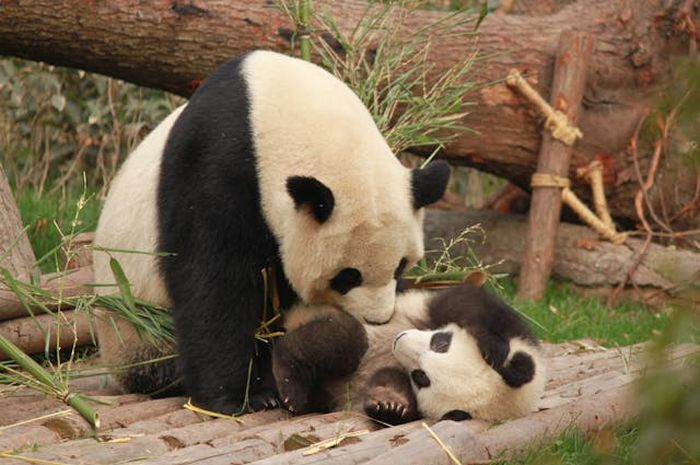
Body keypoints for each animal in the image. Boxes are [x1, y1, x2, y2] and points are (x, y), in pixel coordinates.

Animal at [92, 50, 451, 414]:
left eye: (400, 266)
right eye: (347, 276)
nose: (377, 319)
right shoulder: (214, 166)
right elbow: (214, 284)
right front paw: (235, 397)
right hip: (136, 328)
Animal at [272, 284, 545, 424]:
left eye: (421, 377)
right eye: (441, 343)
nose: (399, 340)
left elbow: (392, 381)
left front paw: (390, 404)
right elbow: (469, 302)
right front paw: (493, 346)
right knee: (341, 340)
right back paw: (290, 387)